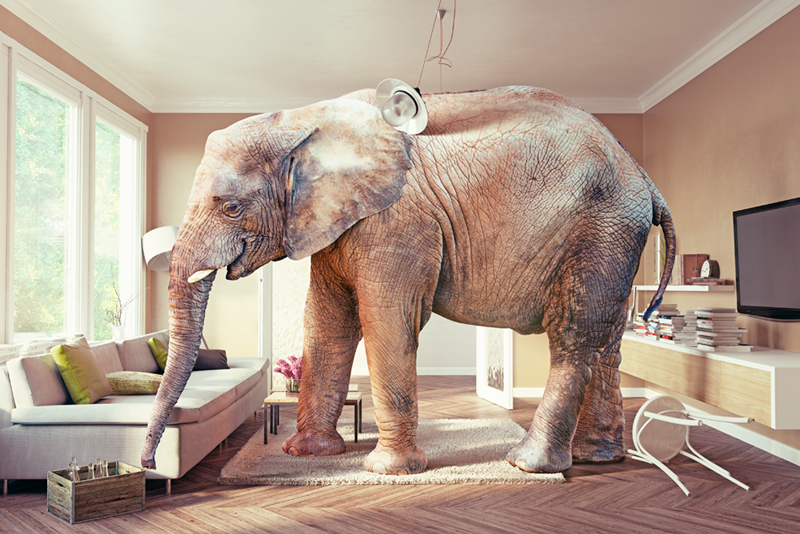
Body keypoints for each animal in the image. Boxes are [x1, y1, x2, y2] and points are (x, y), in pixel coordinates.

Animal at [141, 85, 676, 476]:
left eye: (231, 207)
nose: (146, 464)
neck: (304, 119)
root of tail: (644, 177)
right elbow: (327, 322)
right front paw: (308, 454)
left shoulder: (397, 223)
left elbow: (386, 319)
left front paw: (388, 472)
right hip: (613, 236)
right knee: (607, 341)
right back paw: (596, 458)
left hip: (600, 228)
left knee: (574, 335)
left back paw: (528, 464)